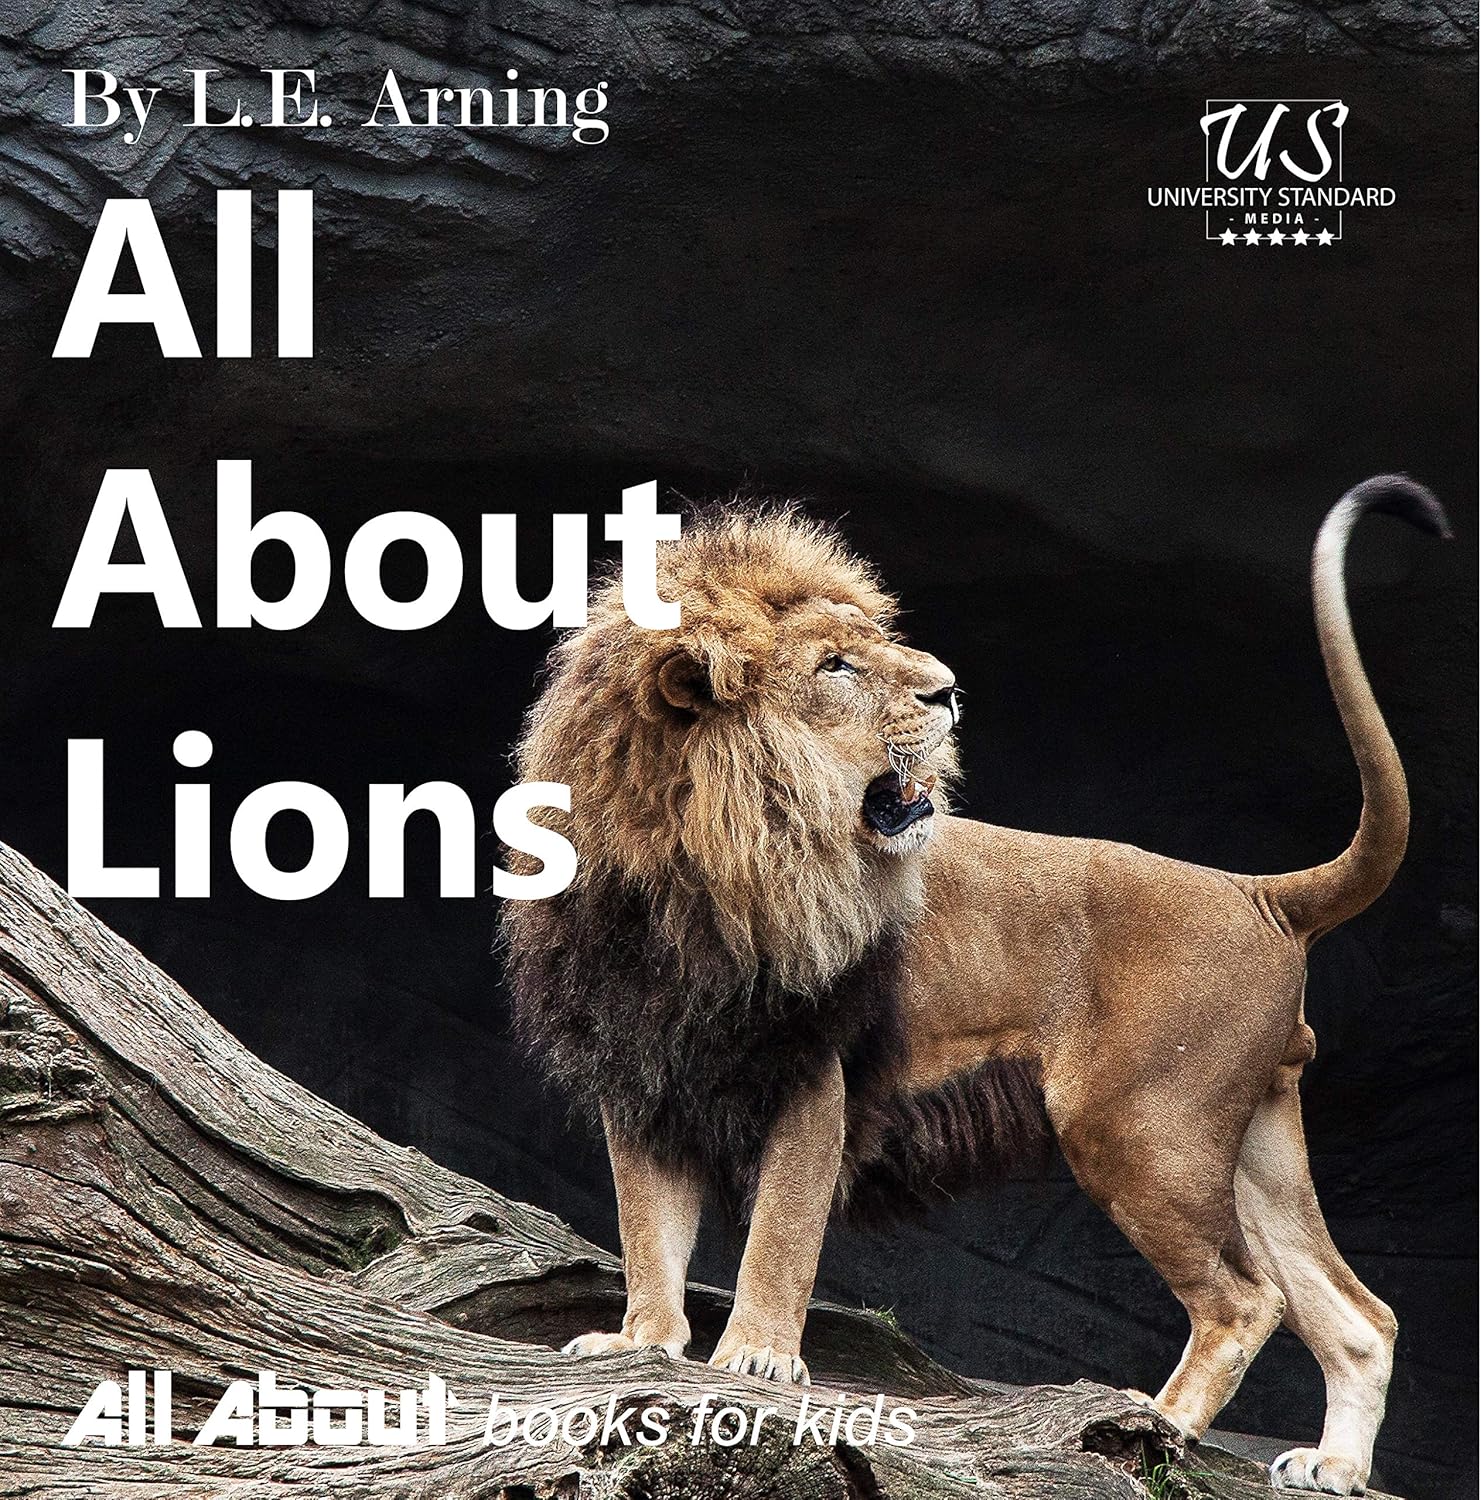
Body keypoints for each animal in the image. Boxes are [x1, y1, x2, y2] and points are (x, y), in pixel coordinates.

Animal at [502, 475, 1450, 1495]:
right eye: (835, 664)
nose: (947, 687)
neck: (694, 874)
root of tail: (1254, 890)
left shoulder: (814, 1072)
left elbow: (782, 1231)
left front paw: (756, 1357)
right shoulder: (643, 1070)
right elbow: (647, 1225)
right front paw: (642, 1342)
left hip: (1139, 1126)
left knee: (1246, 1300)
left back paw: (1154, 1426)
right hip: (1245, 1139)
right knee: (1357, 1316)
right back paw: (1332, 1467)